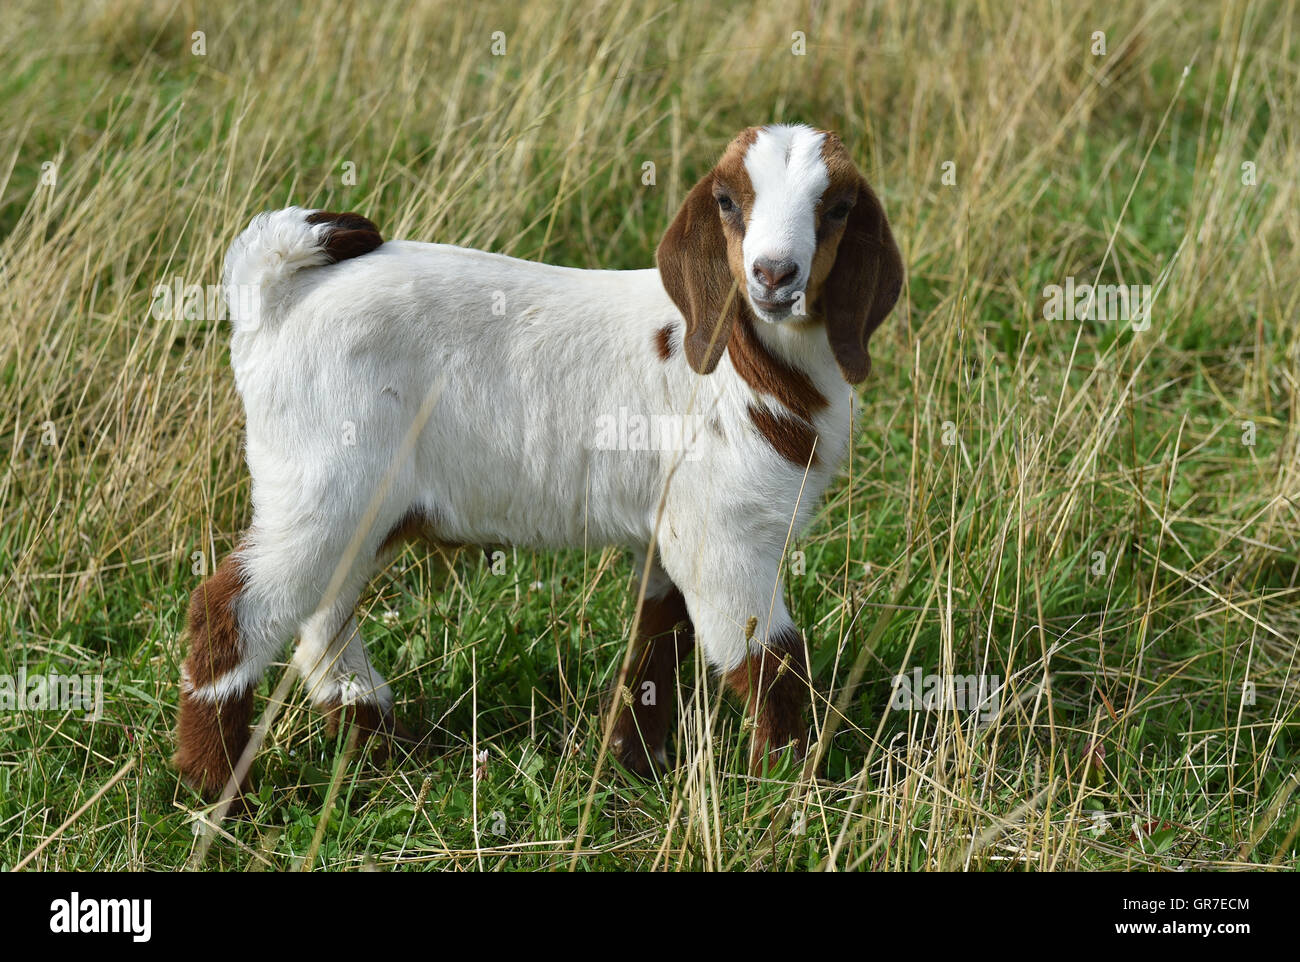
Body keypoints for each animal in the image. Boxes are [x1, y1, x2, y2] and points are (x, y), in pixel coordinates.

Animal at [176, 123, 903, 798]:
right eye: (726, 200)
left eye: (840, 207)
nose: (774, 276)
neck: (741, 362)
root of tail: (275, 294)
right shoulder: (723, 531)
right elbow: (771, 657)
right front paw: (788, 790)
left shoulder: (669, 525)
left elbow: (655, 642)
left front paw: (634, 765)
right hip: (323, 481)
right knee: (232, 607)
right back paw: (215, 790)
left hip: (368, 503)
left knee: (323, 614)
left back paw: (383, 745)